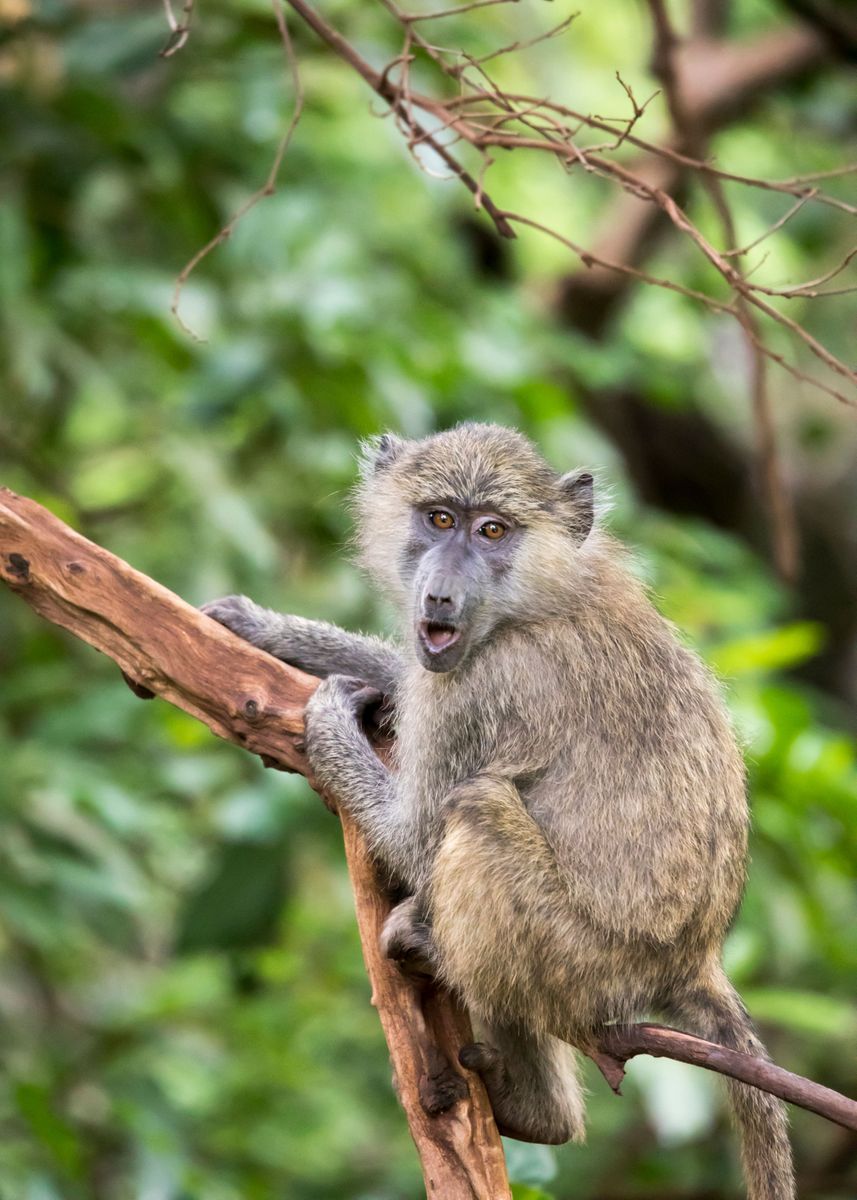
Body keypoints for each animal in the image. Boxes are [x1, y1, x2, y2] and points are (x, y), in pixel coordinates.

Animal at [203, 423, 794, 1200]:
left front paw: (325, 717)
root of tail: (693, 959)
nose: (442, 595)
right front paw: (272, 630)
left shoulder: (480, 691)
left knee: (477, 810)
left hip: (577, 960)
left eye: (492, 530)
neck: (536, 599)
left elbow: (416, 836)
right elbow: (406, 679)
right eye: (439, 519)